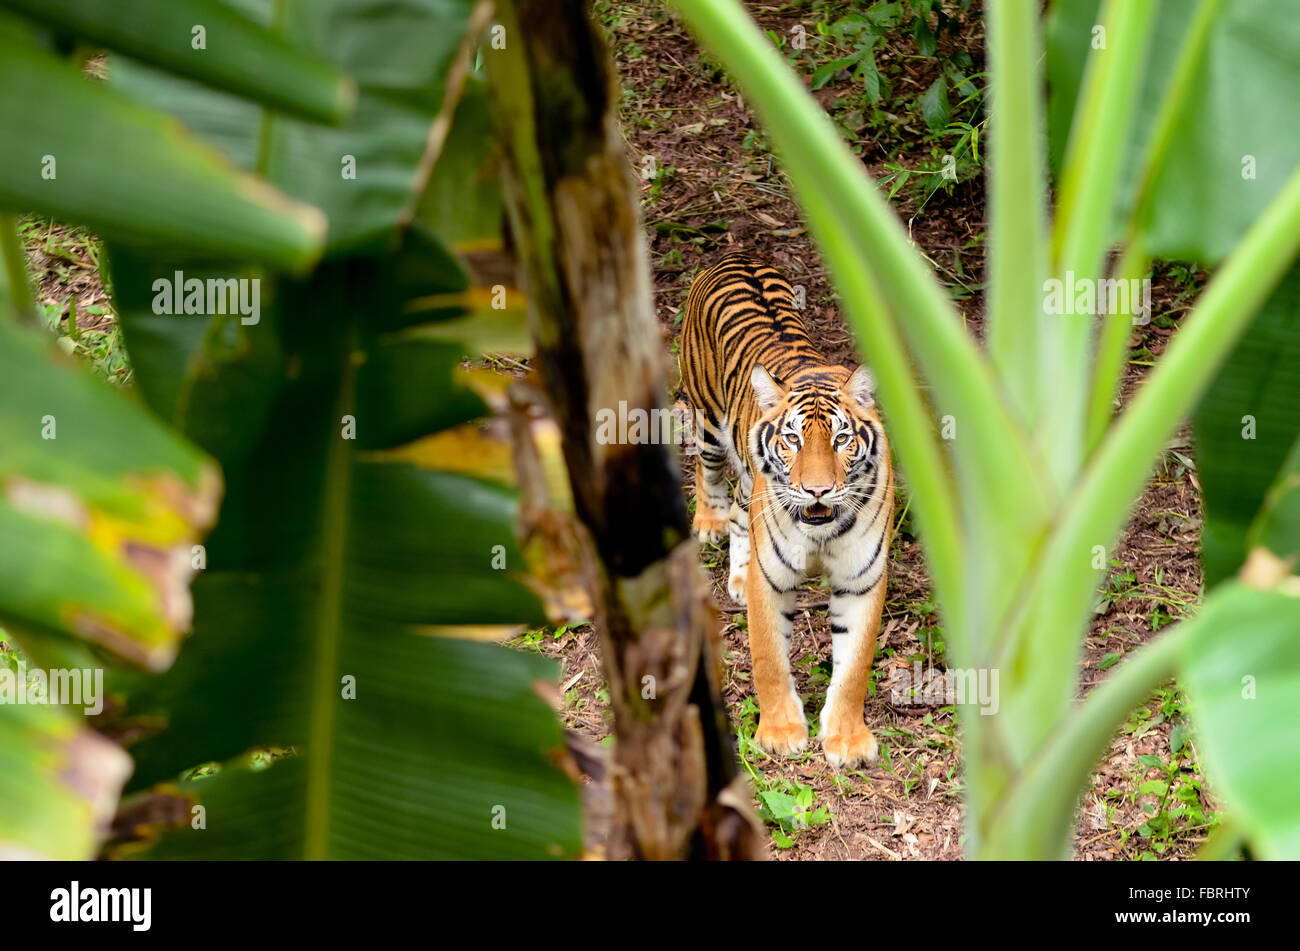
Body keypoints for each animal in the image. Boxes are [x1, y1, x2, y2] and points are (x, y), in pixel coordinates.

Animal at [679, 252, 894, 769]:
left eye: (841, 438)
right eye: (792, 438)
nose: (817, 490)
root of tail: (735, 255)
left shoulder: (862, 578)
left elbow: (854, 666)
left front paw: (846, 740)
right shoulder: (772, 577)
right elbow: (768, 658)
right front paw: (779, 733)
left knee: (741, 509)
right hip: (707, 421)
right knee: (708, 472)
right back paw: (710, 526)